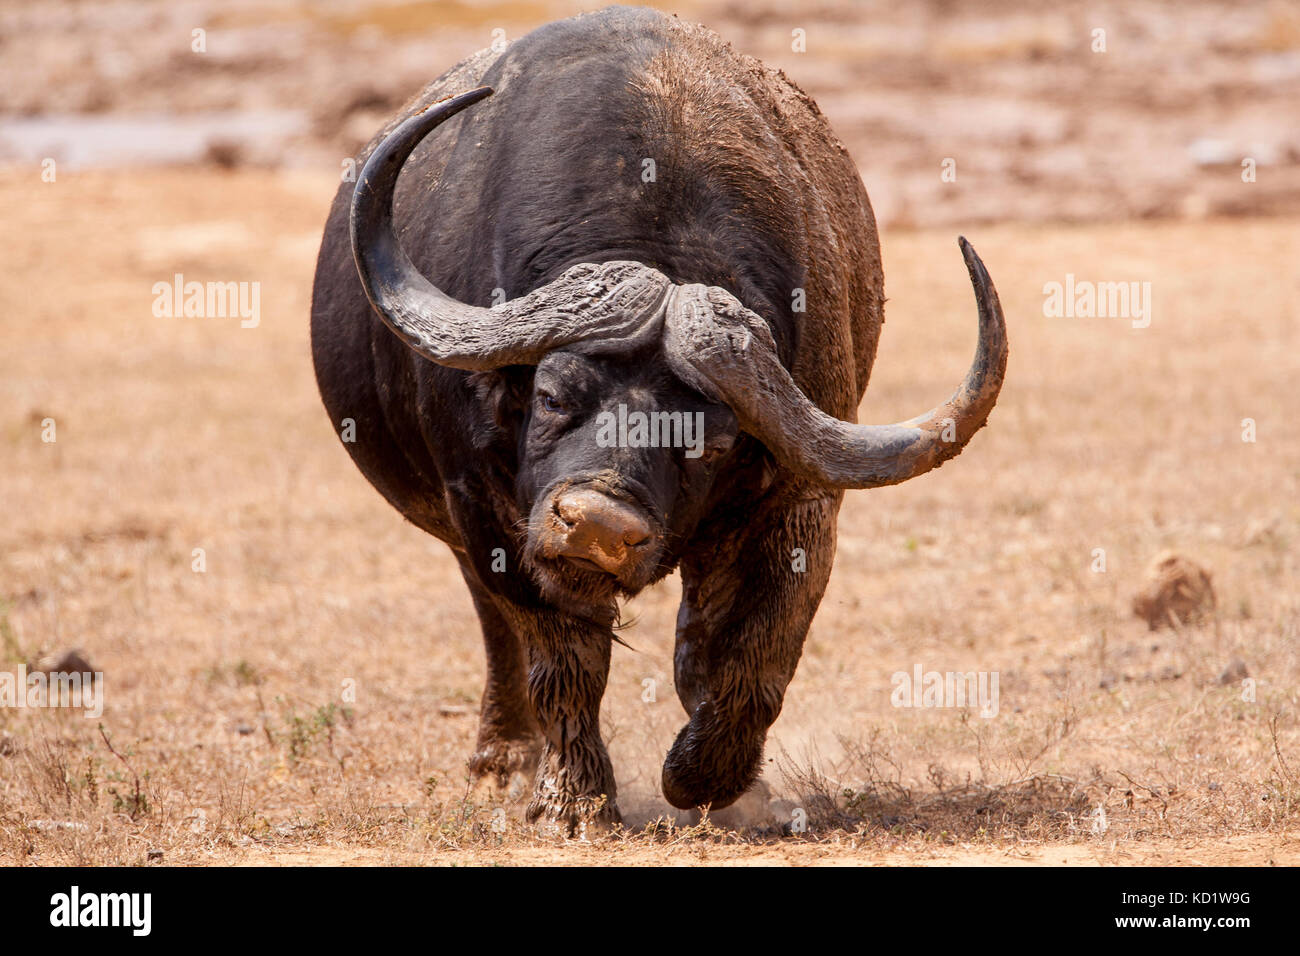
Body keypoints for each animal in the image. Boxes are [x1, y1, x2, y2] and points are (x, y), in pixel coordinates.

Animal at [310, 4, 1007, 835]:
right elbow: (564, 656)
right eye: (553, 395)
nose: (598, 527)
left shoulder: (801, 500)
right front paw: (574, 800)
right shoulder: (484, 511)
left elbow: (750, 652)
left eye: (710, 443)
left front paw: (714, 779)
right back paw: (504, 764)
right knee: (498, 632)